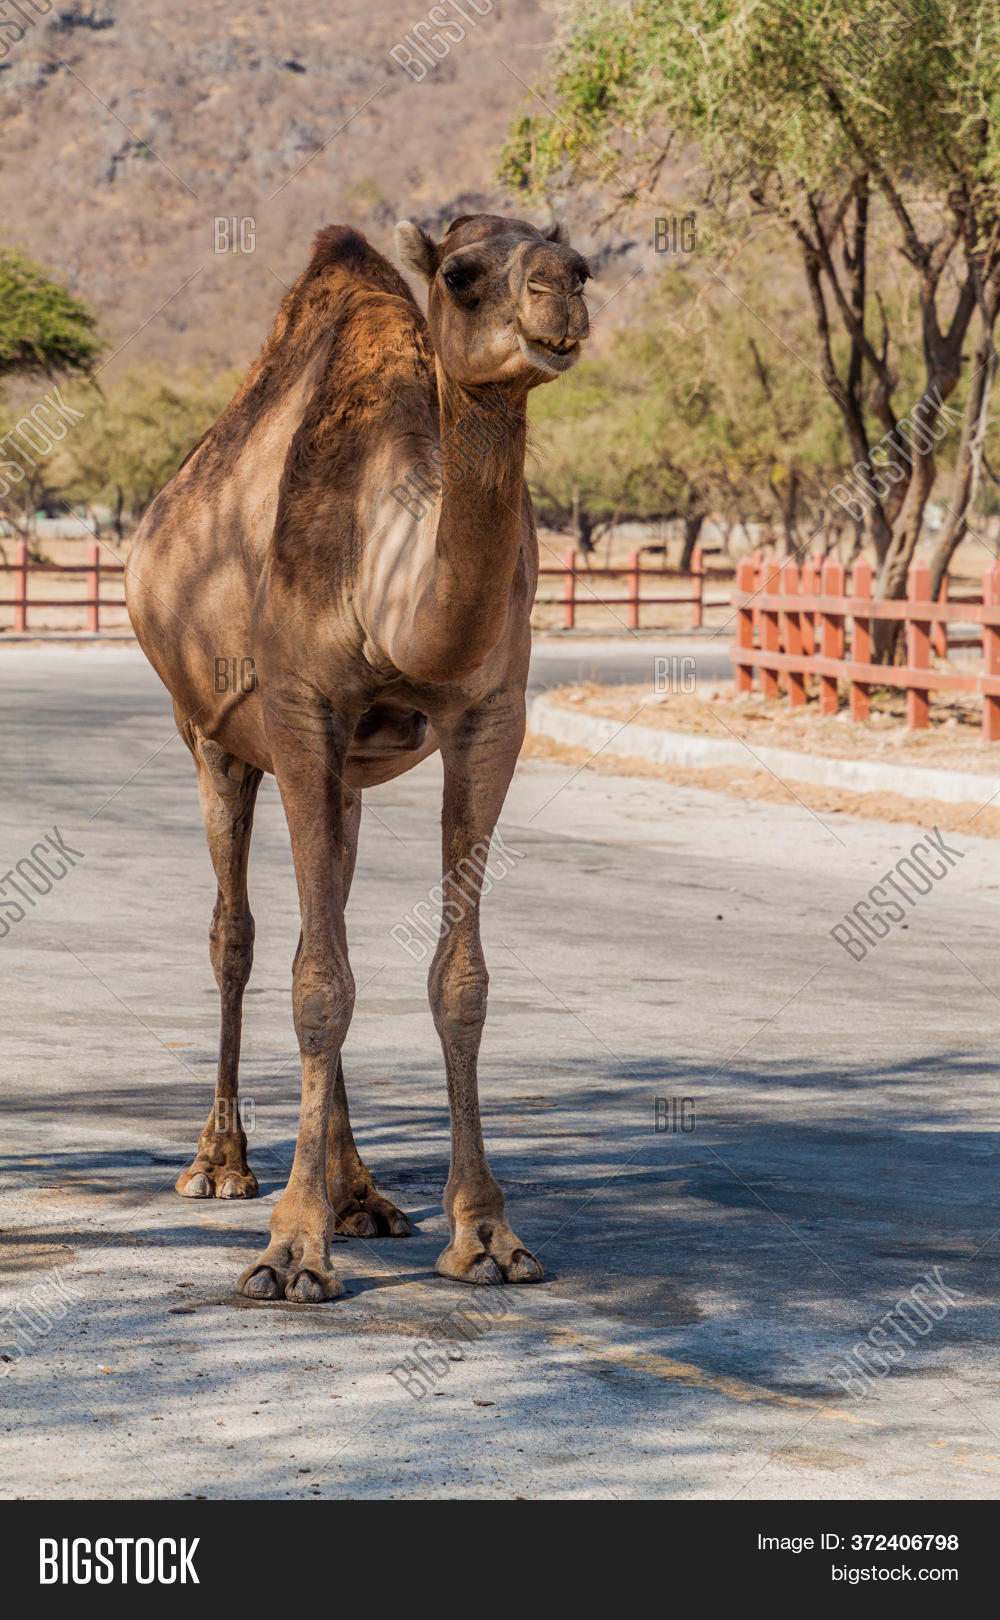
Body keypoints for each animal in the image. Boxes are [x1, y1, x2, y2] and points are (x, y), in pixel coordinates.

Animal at [125, 213, 591, 1302]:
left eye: (583, 259)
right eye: (461, 274)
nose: (561, 288)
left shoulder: (490, 715)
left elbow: (455, 980)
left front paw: (486, 1235)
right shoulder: (299, 710)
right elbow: (314, 981)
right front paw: (291, 1253)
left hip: (343, 781)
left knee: (315, 922)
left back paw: (361, 1195)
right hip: (210, 739)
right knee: (241, 935)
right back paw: (222, 1165)